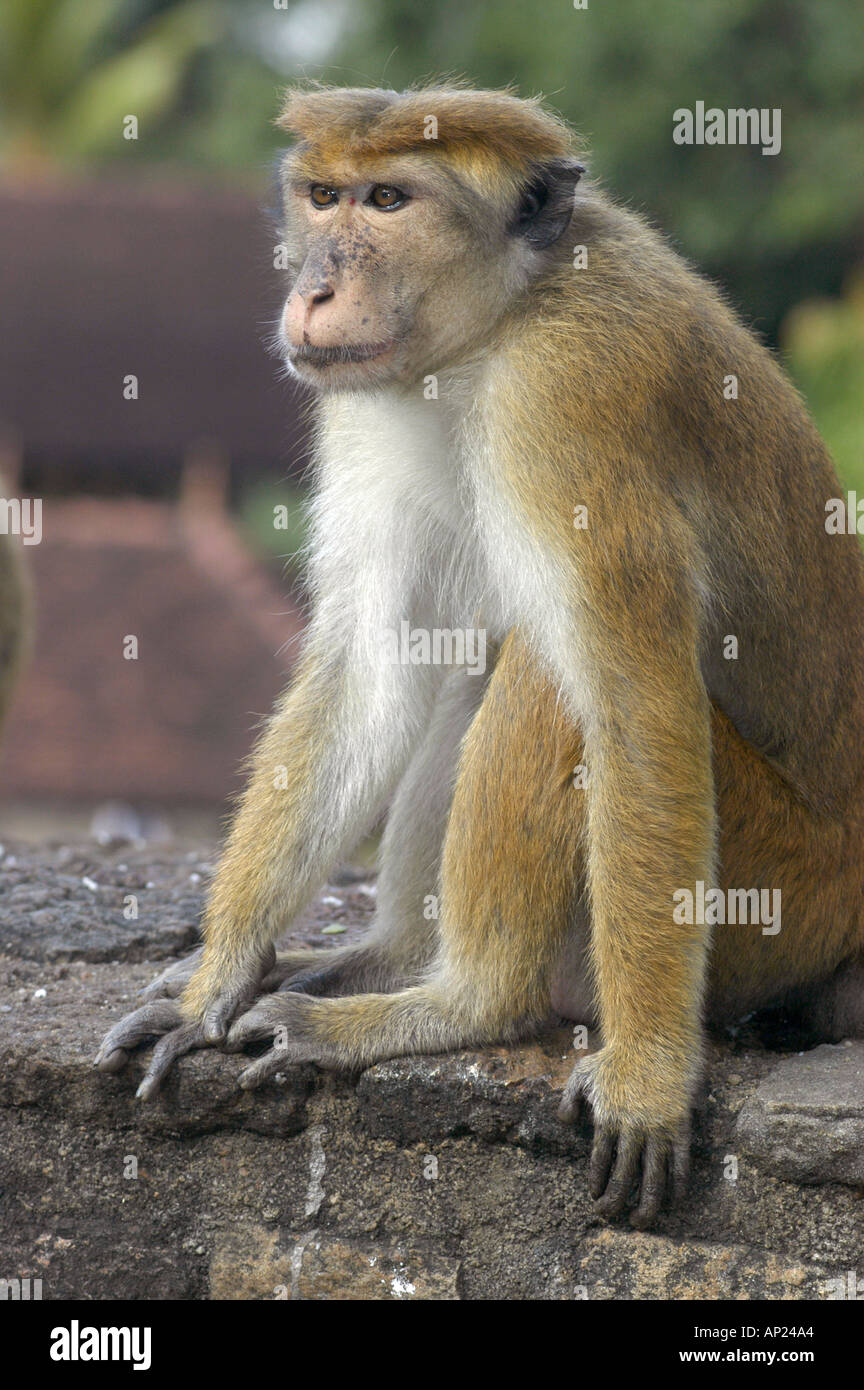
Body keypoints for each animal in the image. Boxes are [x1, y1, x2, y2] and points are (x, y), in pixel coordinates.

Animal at [95, 84, 864, 1228]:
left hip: (783, 896)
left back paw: (465, 1003)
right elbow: (377, 663)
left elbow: (638, 709)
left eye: (387, 200)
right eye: (321, 196)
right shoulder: (368, 397)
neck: (501, 325)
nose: (316, 288)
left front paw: (647, 1076)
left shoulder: (573, 395)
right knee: (478, 662)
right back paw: (379, 964)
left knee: (549, 676)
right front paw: (210, 987)